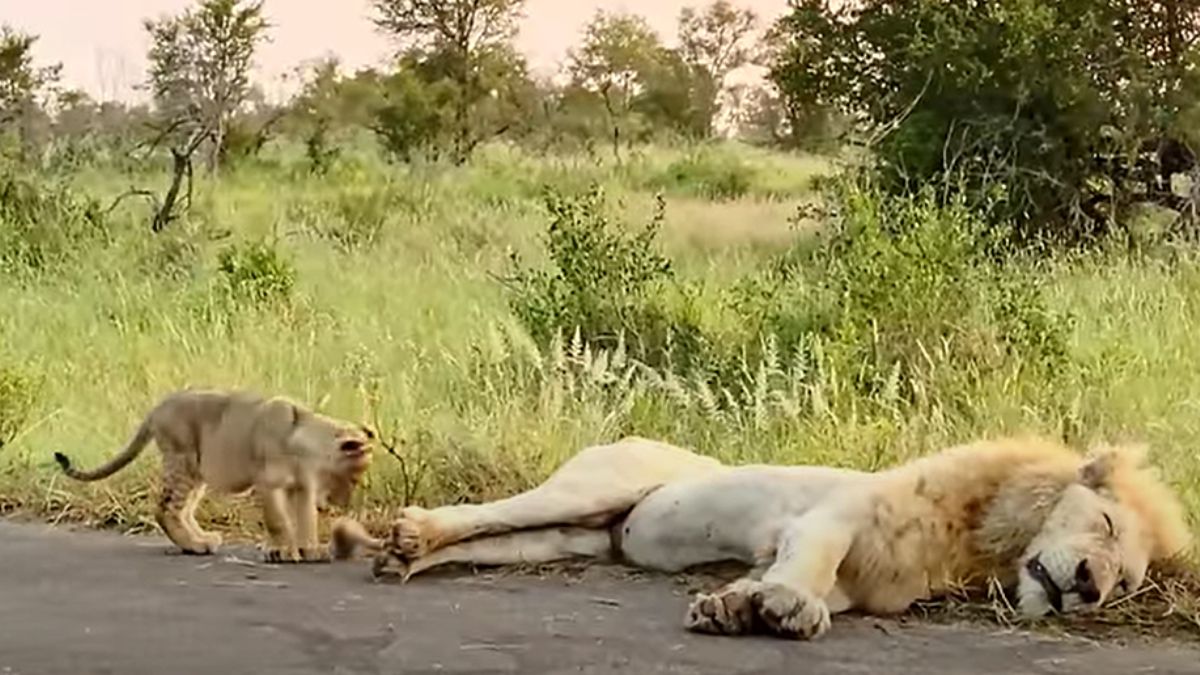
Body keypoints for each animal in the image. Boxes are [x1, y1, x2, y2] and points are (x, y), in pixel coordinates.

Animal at [54, 388, 376, 563]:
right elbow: (279, 521)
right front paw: (282, 552)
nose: (343, 503)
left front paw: (310, 550)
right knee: (165, 508)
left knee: (183, 509)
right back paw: (194, 545)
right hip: (181, 459)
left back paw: (201, 541)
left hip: (197, 471)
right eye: (354, 478)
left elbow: (306, 519)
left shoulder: (302, 487)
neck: (308, 449)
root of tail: (158, 408)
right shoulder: (267, 482)